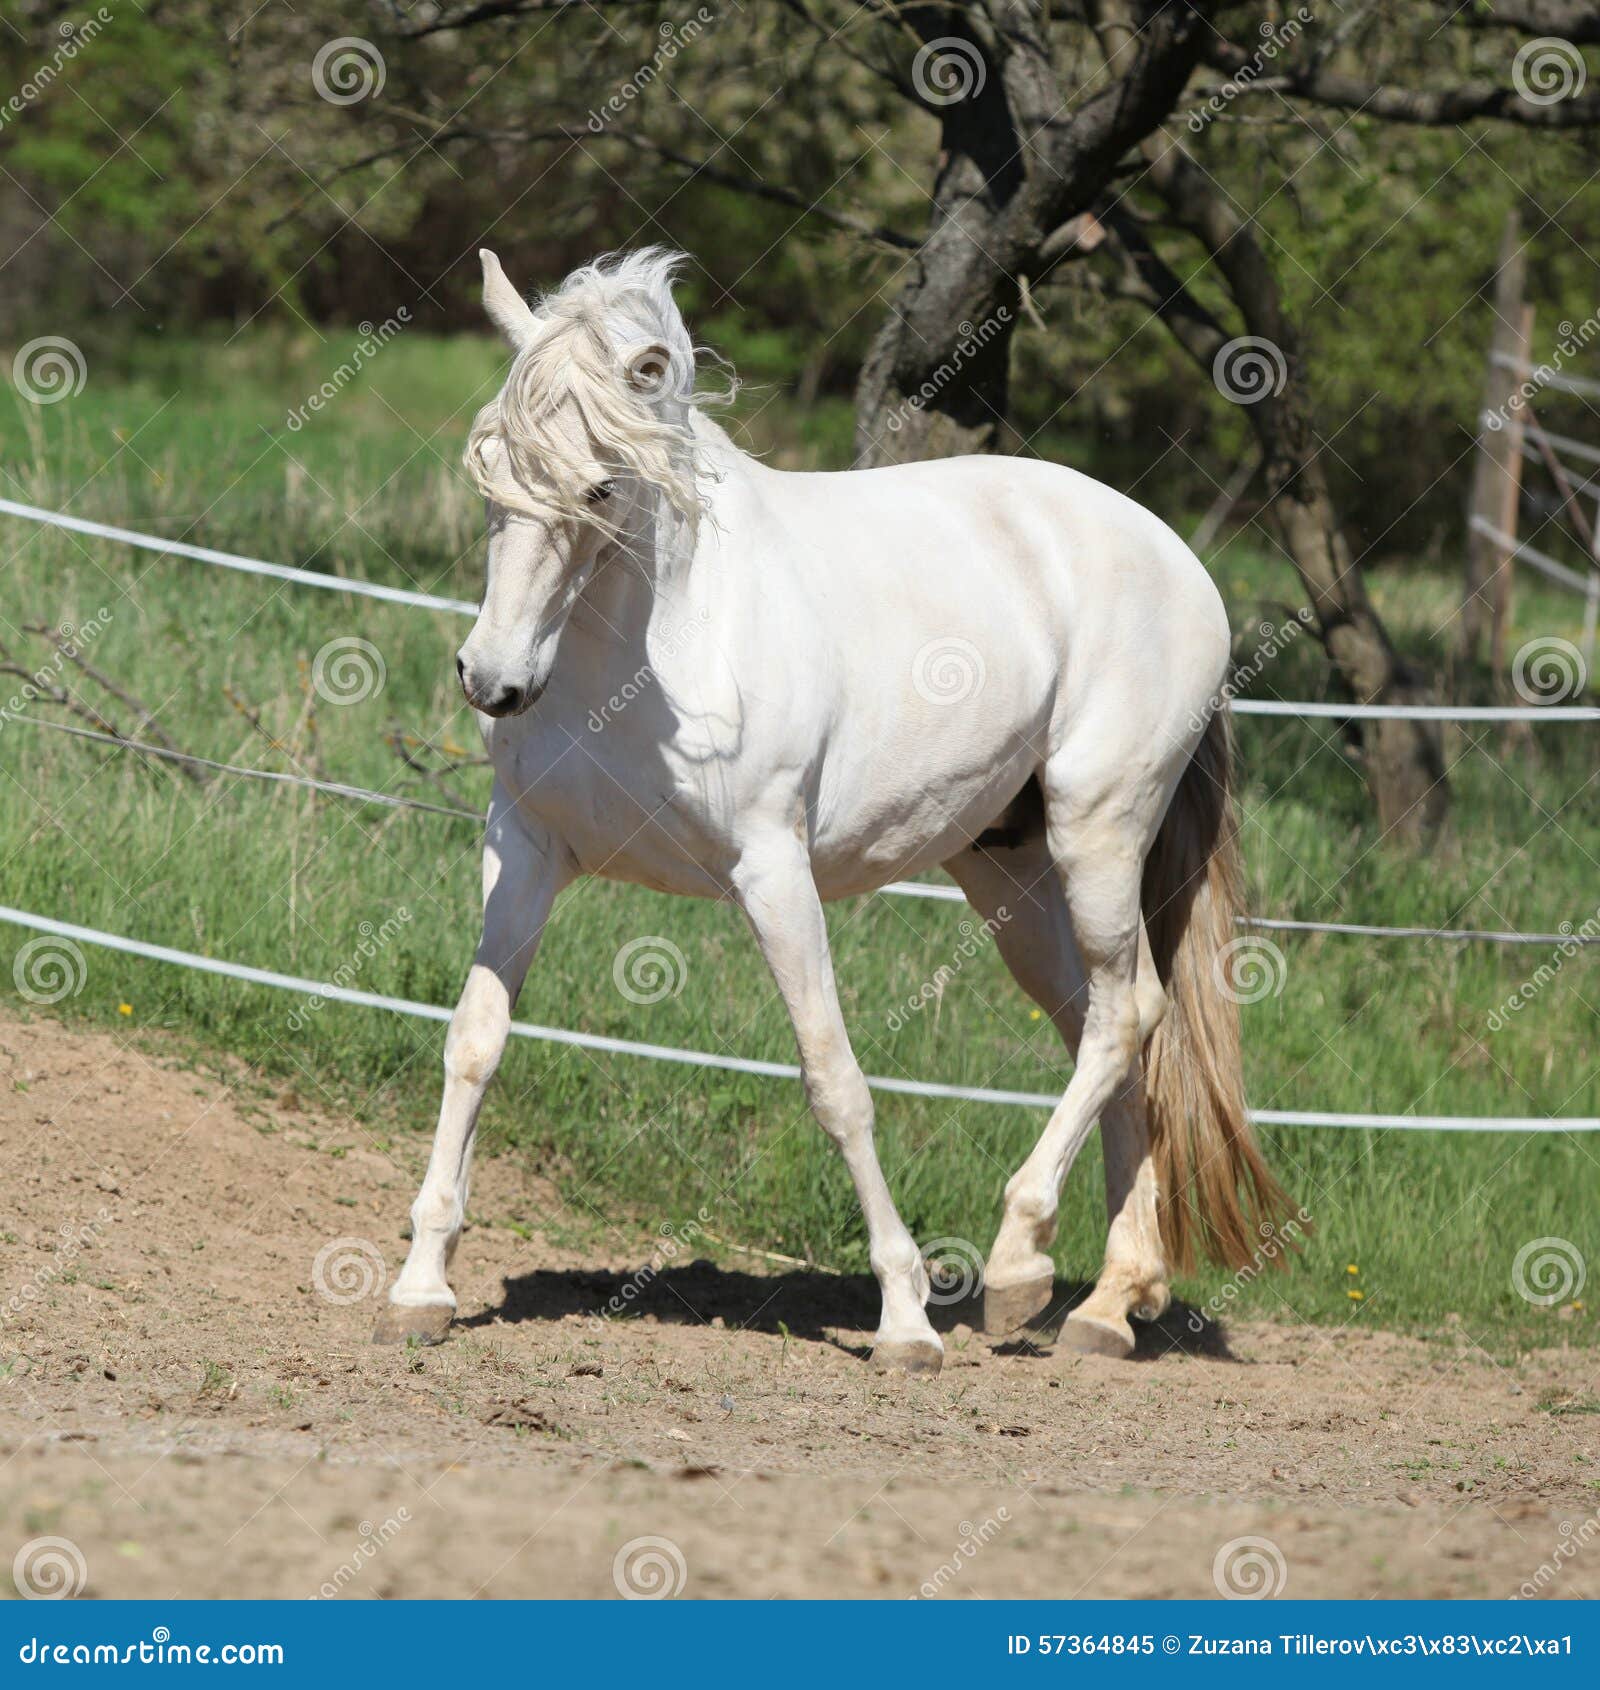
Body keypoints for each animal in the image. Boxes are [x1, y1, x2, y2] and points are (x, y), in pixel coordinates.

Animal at [372, 247, 1290, 1373]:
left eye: (598, 484)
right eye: (488, 466)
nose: (492, 680)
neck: (655, 654)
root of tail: (1178, 559)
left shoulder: (773, 873)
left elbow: (833, 1078)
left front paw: (903, 1319)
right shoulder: (526, 850)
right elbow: (474, 1041)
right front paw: (421, 1285)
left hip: (1098, 831)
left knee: (1129, 1017)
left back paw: (1021, 1264)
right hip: (1010, 872)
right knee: (1104, 1029)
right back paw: (1107, 1300)